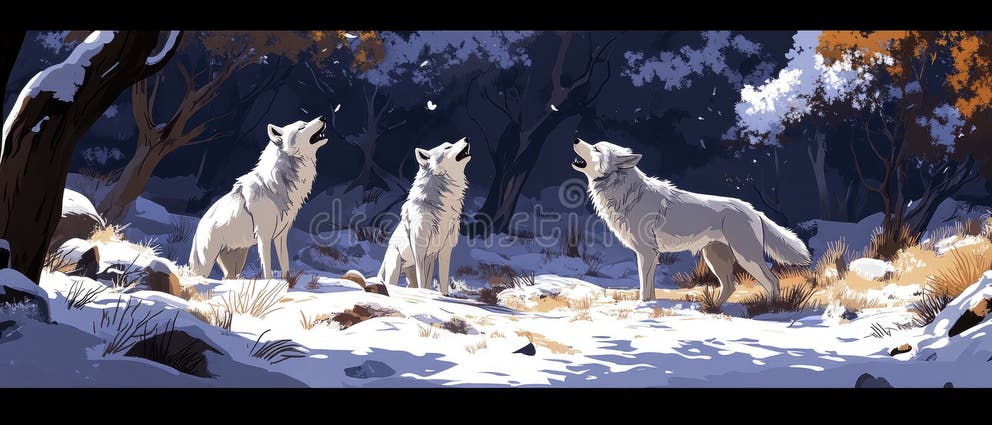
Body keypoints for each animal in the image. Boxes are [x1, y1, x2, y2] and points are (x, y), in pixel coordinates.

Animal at [189, 116, 327, 279]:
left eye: (304, 123)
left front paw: (288, 283)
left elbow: (285, 265)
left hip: (236, 264)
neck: (278, 183)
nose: (323, 117)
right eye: (301, 127)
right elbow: (267, 268)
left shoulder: (281, 236)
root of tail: (198, 228)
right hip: (205, 265)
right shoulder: (264, 236)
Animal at [376, 138, 471, 295]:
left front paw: (445, 296)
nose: (467, 138)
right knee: (393, 283)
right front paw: (426, 295)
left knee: (412, 285)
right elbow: (423, 280)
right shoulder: (419, 249)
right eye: (447, 147)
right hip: (395, 267)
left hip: (423, 265)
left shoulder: (444, 250)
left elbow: (442, 279)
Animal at [571, 138, 811, 305]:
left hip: (746, 258)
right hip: (715, 259)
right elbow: (648, 286)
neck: (625, 192)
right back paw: (713, 308)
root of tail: (754, 211)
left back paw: (769, 309)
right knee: (730, 286)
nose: (575, 139)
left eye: (596, 149)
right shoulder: (647, 254)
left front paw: (644, 306)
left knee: (772, 281)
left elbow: (645, 287)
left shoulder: (647, 253)